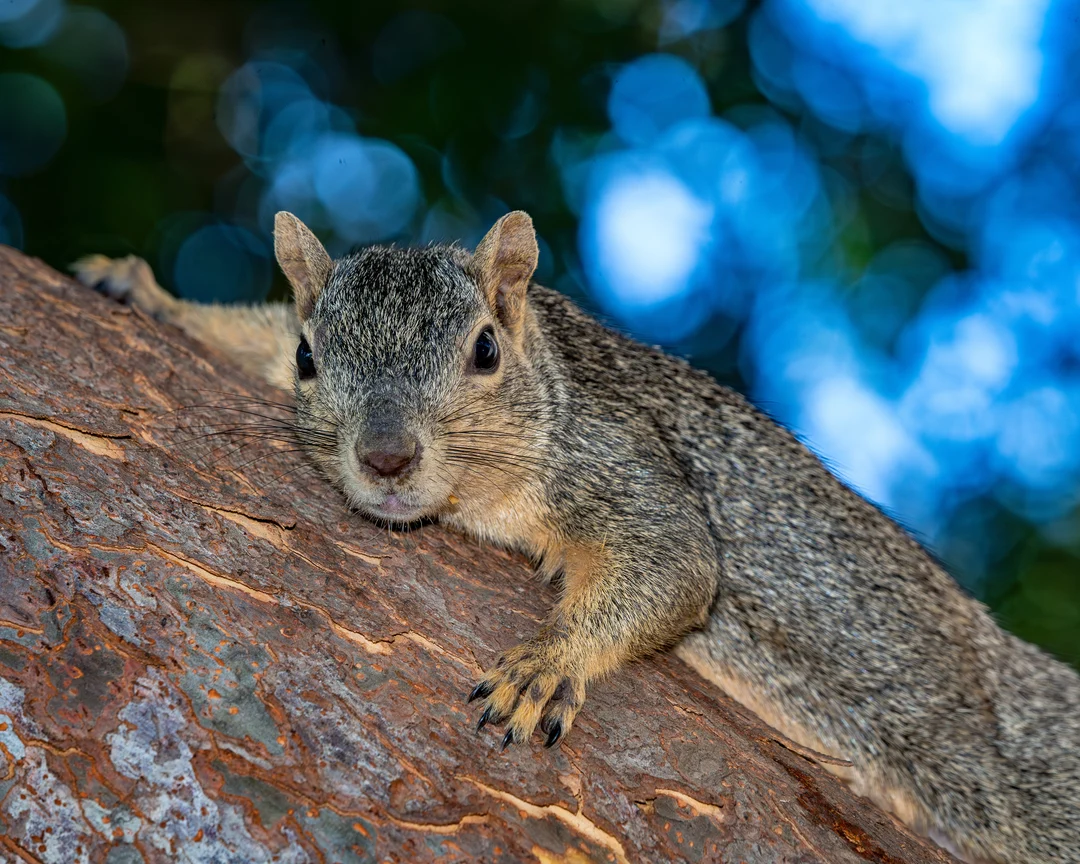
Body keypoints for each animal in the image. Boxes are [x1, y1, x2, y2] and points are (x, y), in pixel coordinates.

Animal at [73, 211, 1080, 864]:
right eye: (307, 356)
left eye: (485, 349)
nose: (387, 458)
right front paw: (148, 290)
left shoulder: (618, 459)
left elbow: (676, 566)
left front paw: (548, 662)